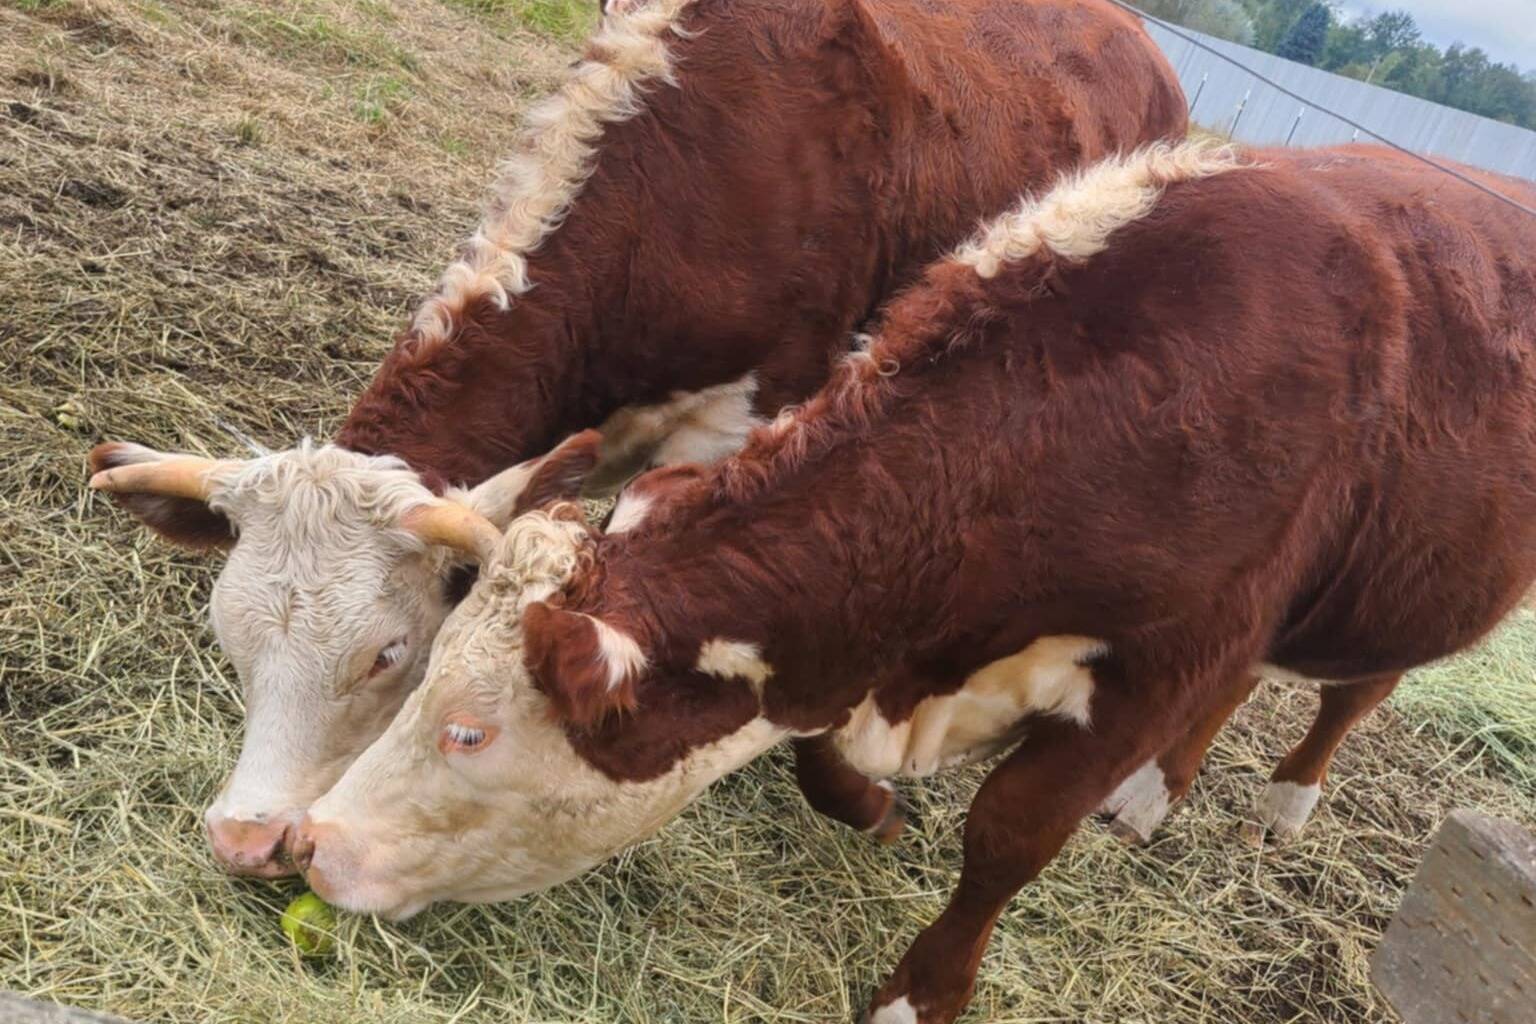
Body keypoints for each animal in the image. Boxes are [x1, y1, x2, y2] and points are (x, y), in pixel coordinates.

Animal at [85, 0, 1187, 877]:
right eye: (229, 635)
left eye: (387, 653)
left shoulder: (765, 431)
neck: (691, 182)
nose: (245, 840)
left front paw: (862, 801)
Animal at [288, 142, 1536, 1023]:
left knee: (1352, 690)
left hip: (1409, 592)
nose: (312, 844)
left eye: (468, 731)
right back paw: (1151, 797)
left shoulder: (1159, 664)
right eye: (422, 668)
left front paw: (916, 994)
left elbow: (1008, 837)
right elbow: (814, 749)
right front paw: (872, 809)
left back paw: (1286, 800)